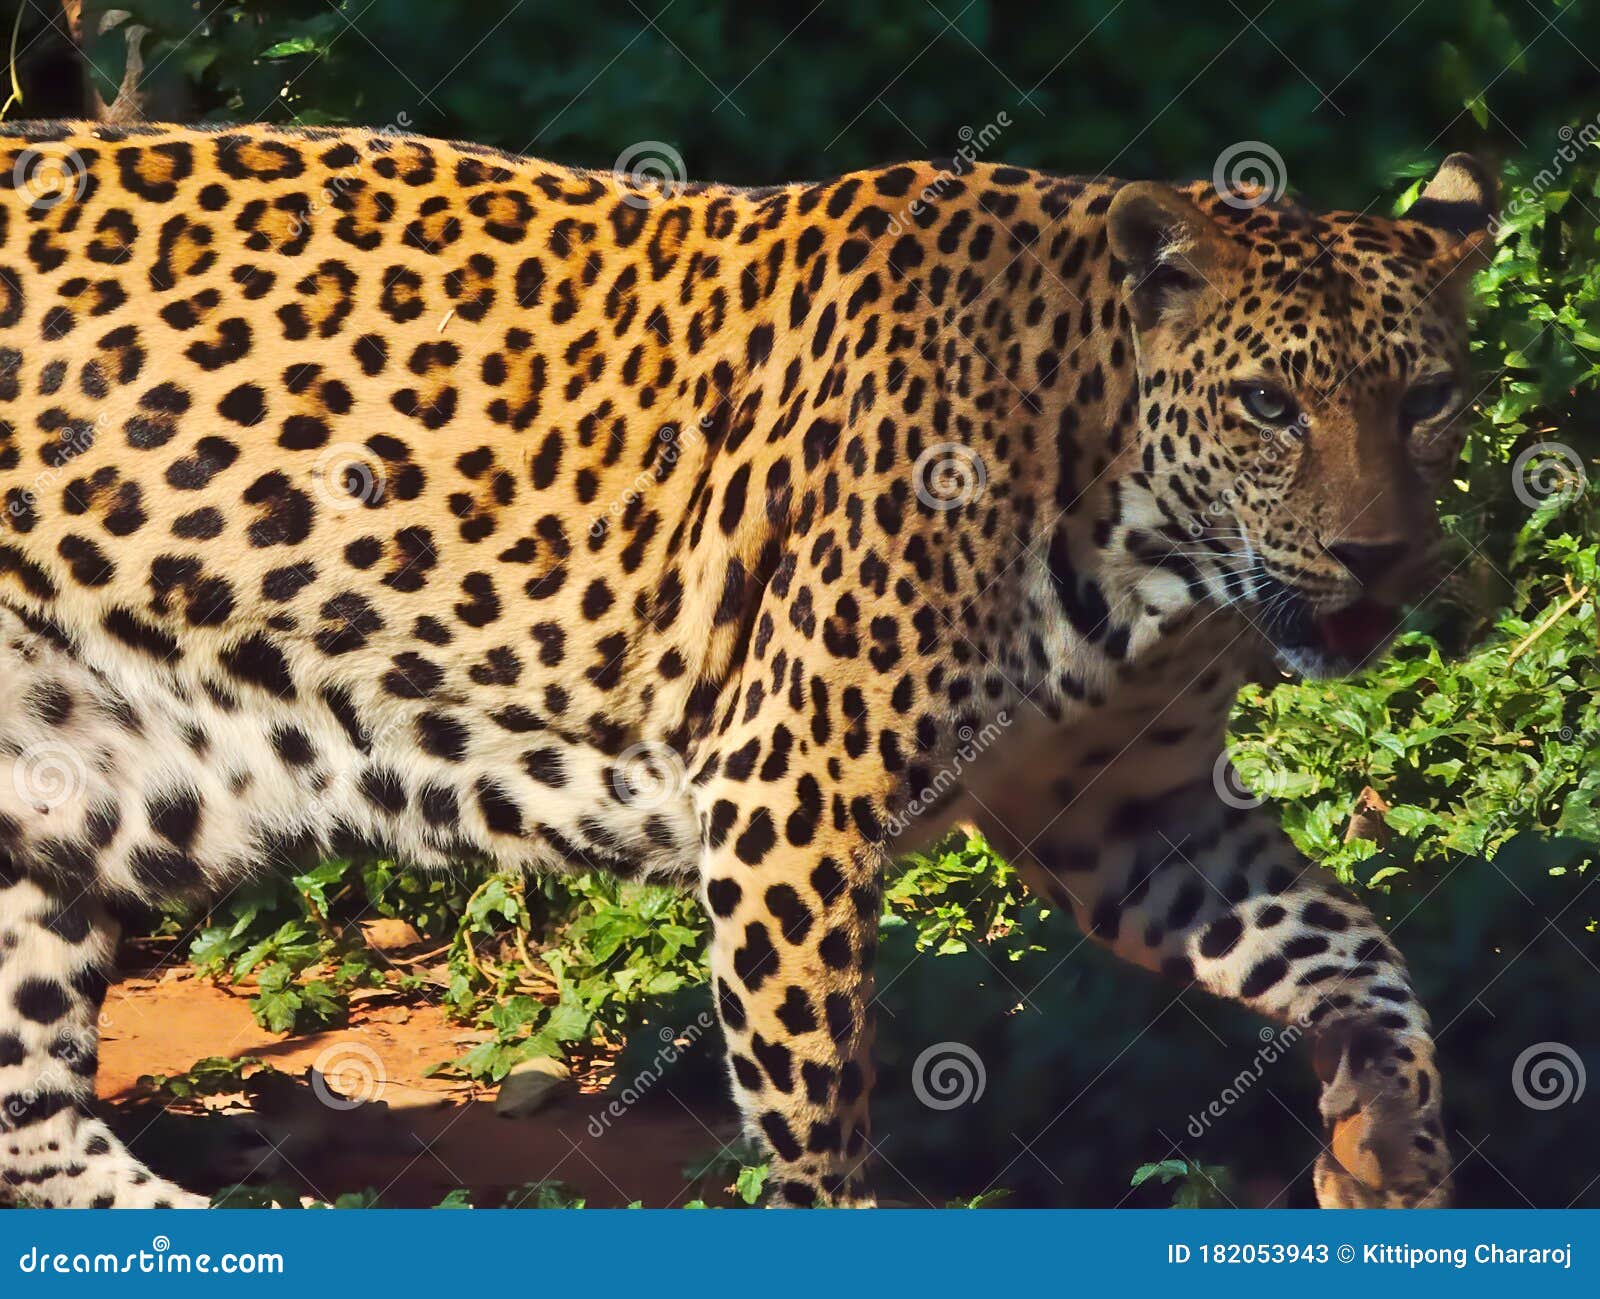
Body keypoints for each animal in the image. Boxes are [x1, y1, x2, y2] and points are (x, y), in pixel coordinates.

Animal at [0, 120, 1493, 1208]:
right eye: (1269, 405)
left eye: (1427, 400)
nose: (1378, 558)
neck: (1145, 552)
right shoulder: (793, 799)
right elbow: (813, 1099)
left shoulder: (1126, 812)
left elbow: (1356, 951)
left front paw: (1388, 1152)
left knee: (33, 1118)